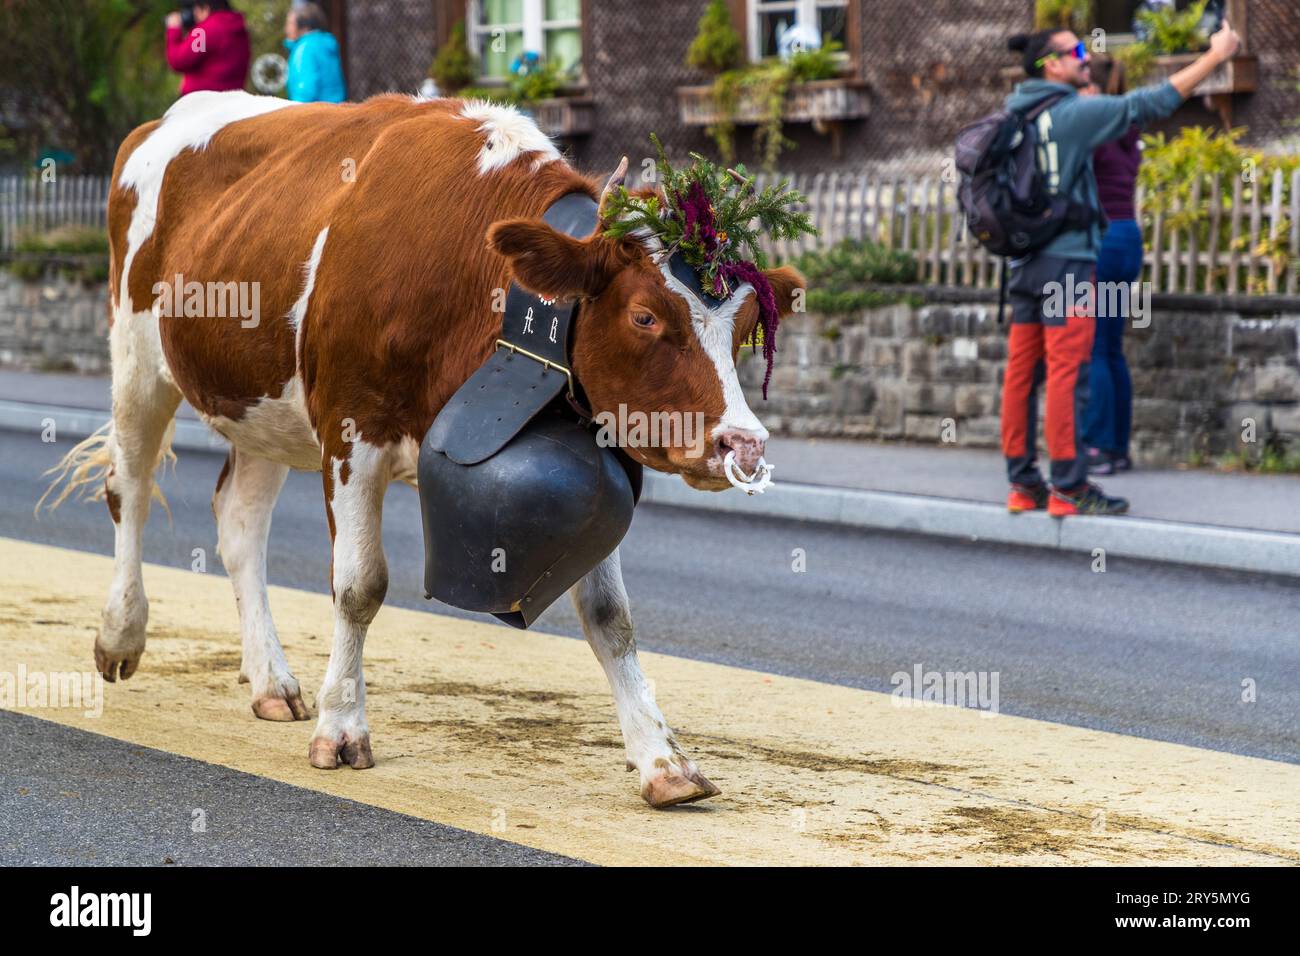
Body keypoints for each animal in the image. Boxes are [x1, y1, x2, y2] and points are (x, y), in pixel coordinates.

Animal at [48, 90, 803, 808]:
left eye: (744, 326)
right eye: (645, 316)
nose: (743, 444)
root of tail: (163, 121)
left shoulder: (590, 469)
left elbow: (610, 618)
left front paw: (663, 761)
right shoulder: (351, 430)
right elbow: (359, 586)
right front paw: (342, 729)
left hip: (260, 407)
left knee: (238, 524)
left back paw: (271, 680)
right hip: (137, 356)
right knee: (129, 489)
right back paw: (121, 635)